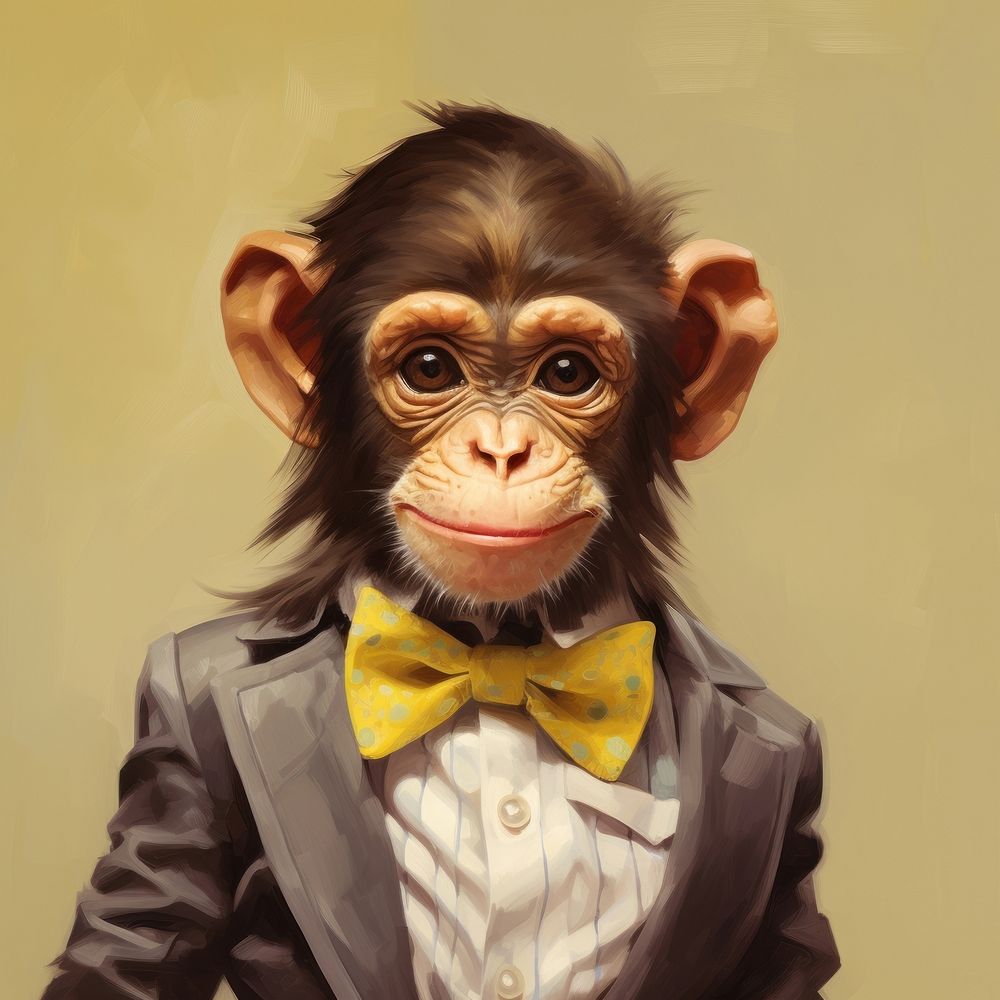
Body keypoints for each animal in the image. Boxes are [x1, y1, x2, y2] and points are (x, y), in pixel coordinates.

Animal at [42, 104, 838, 1000]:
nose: (501, 452)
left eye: (568, 374)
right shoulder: (178, 750)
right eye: (430, 368)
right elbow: (139, 933)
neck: (499, 646)